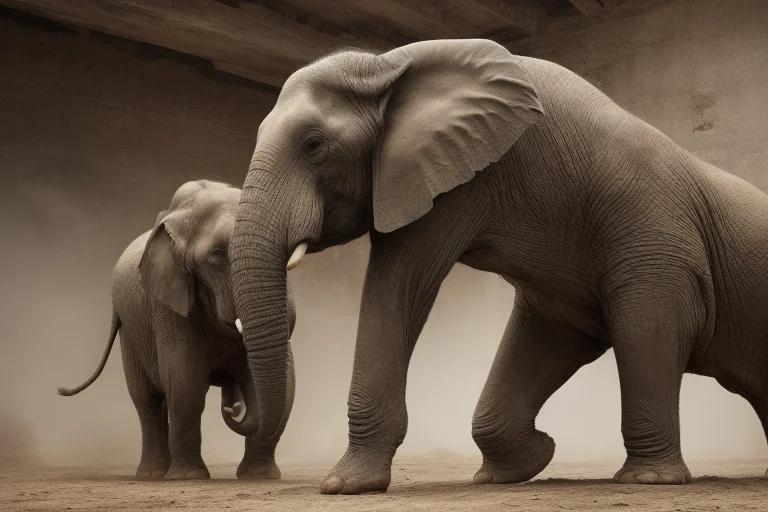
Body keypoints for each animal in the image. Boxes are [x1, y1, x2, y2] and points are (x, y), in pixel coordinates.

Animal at [58, 180, 296, 480]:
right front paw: (190, 478)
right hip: (131, 330)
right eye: (218, 255)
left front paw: (259, 477)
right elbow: (186, 382)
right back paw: (152, 475)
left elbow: (281, 381)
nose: (231, 408)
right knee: (147, 400)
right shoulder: (168, 302)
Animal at [229, 38, 768, 494]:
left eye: (313, 145)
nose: (234, 406)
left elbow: (399, 287)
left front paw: (344, 487)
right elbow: (538, 336)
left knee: (645, 331)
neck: (389, 63)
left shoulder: (459, 181)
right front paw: (524, 464)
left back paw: (648, 479)